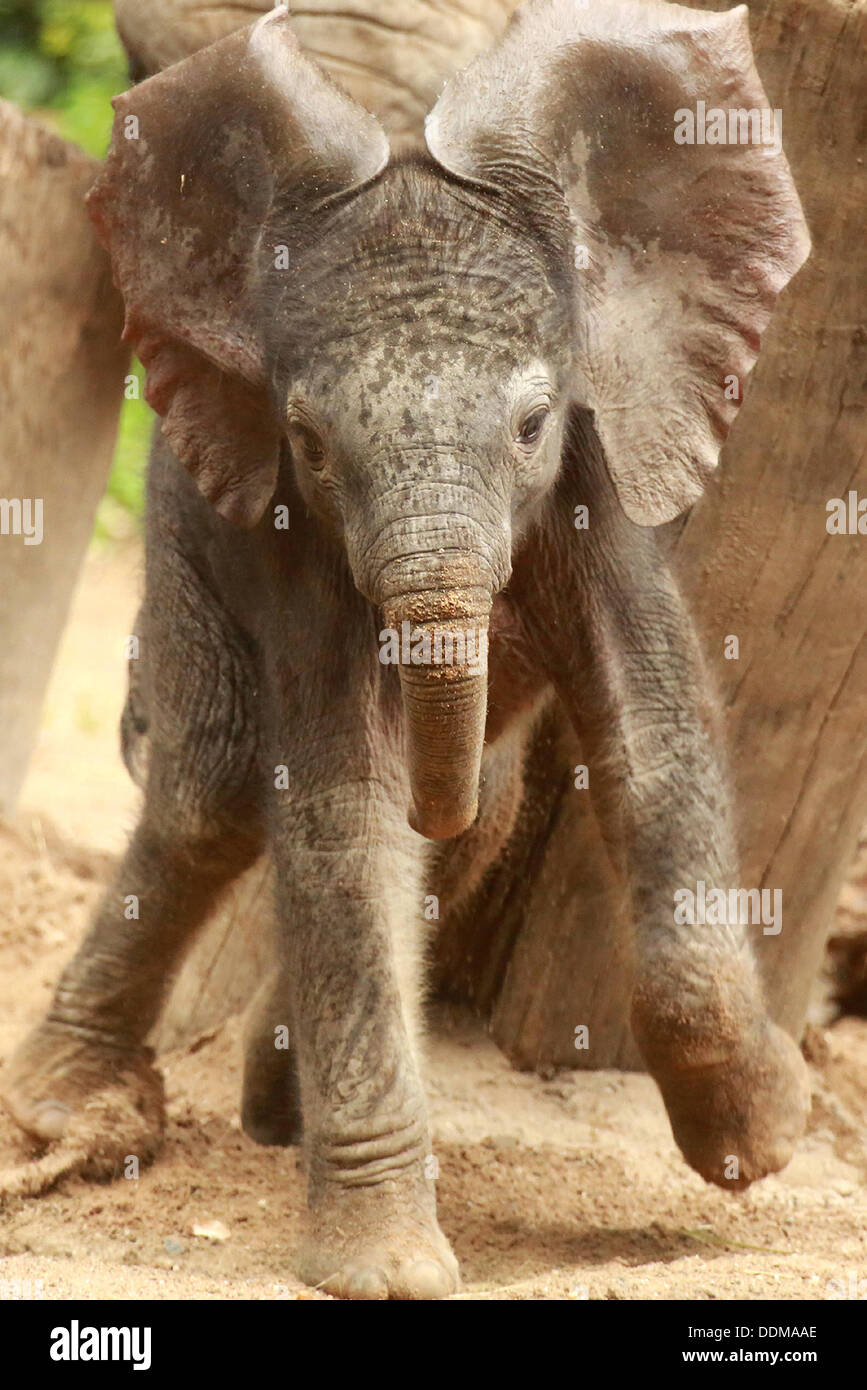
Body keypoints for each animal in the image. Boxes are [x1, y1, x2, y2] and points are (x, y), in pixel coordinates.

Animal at [0, 0, 812, 1299]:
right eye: (312, 443)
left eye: (531, 424)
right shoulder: (291, 539)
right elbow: (344, 808)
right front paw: (387, 1272)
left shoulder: (601, 471)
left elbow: (656, 732)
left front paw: (762, 1142)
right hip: (181, 531)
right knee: (211, 801)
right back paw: (69, 1105)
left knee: (468, 815)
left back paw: (272, 1101)